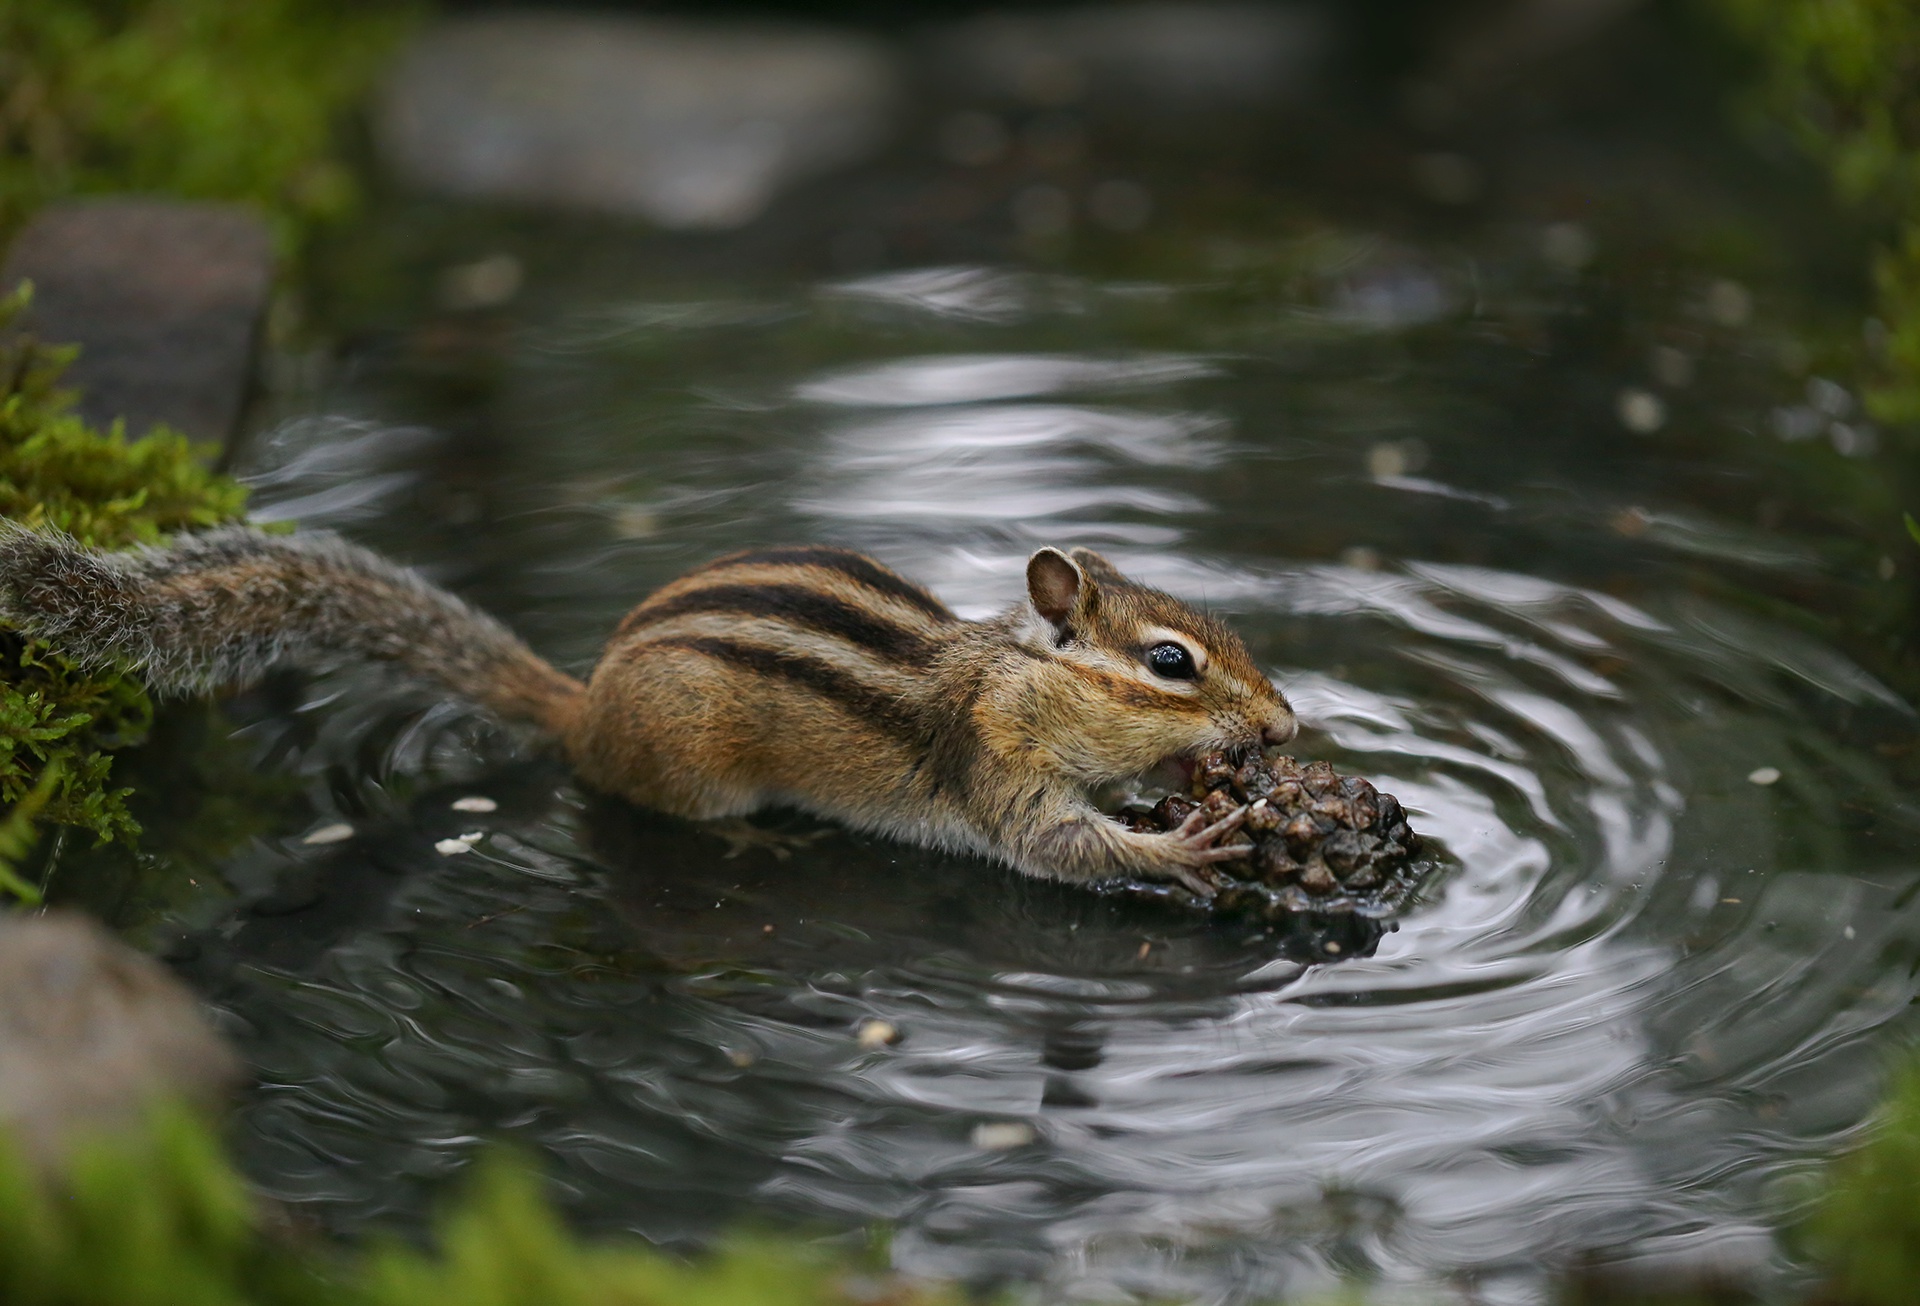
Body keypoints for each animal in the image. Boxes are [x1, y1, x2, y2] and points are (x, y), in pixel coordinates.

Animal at [0, 526, 1296, 896]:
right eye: (1172, 660)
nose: (1286, 729)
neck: (1018, 679)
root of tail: (583, 706)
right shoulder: (996, 765)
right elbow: (1055, 844)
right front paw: (1185, 842)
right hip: (692, 762)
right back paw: (758, 840)